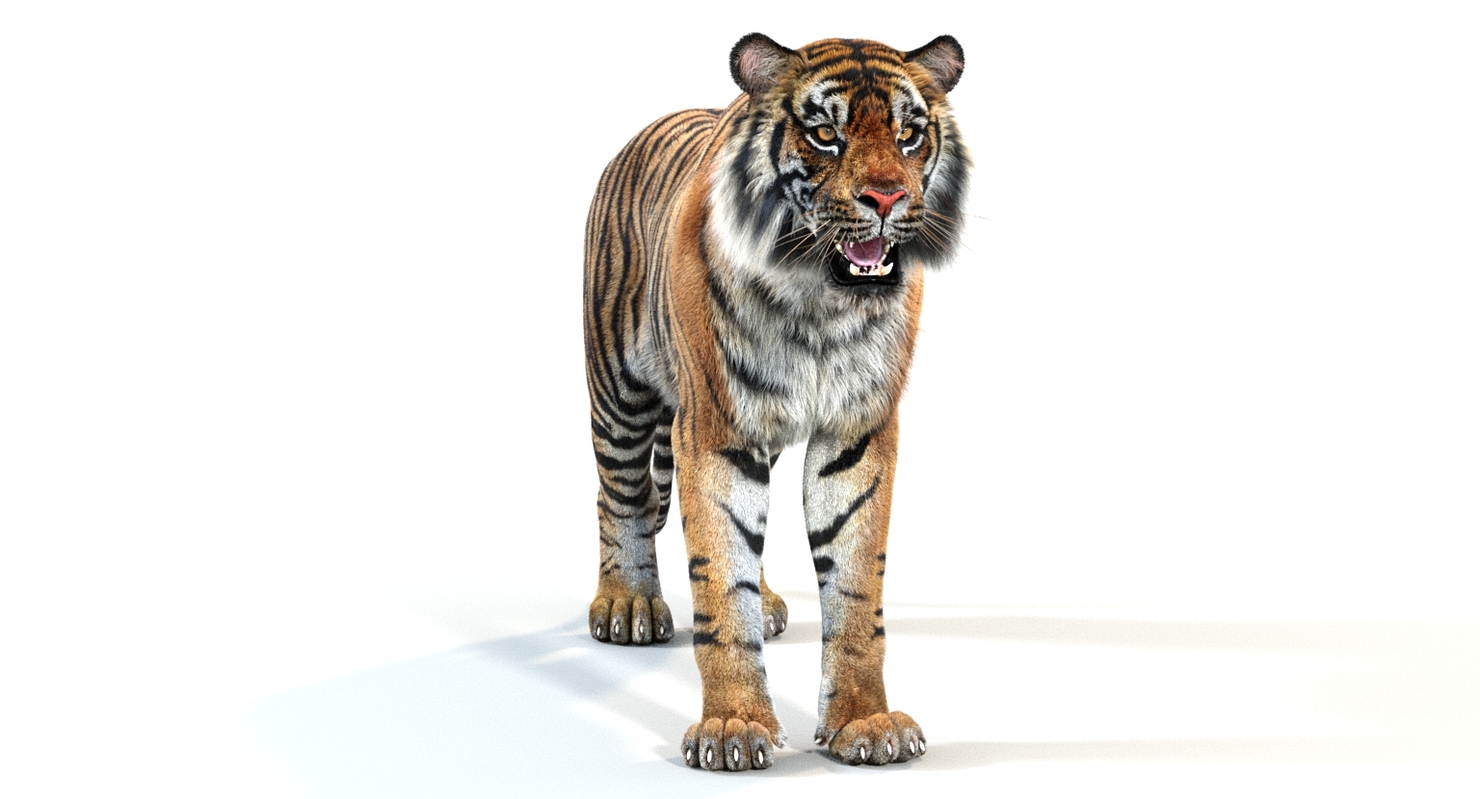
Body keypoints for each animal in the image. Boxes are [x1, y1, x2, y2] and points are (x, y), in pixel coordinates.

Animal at [582, 33, 970, 770]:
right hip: (617, 385)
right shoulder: (714, 427)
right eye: (825, 134)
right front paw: (733, 726)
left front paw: (864, 721)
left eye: (908, 134)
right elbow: (717, 578)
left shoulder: (857, 430)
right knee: (620, 495)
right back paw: (627, 604)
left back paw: (761, 601)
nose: (886, 197)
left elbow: (855, 585)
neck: (817, 300)